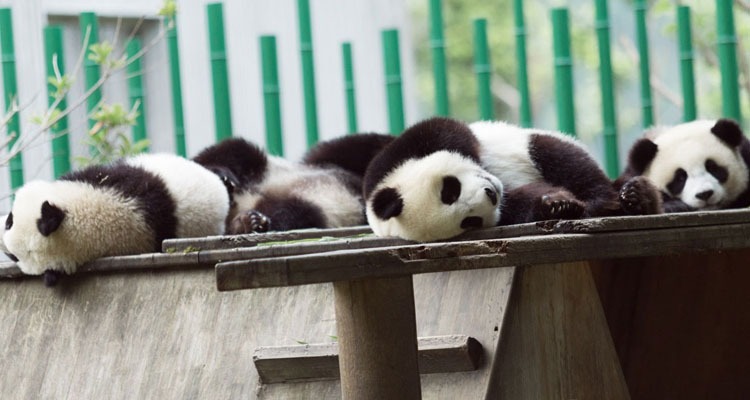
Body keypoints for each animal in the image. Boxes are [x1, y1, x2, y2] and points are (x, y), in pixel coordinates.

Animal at [193, 133, 394, 234]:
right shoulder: (327, 158)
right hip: (264, 169)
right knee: (237, 151)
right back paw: (224, 179)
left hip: (321, 210)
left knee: (294, 214)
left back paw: (247, 223)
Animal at [363, 117, 620, 242]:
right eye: (470, 221)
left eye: (450, 191)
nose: (491, 193)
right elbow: (519, 206)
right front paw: (557, 205)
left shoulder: (392, 157)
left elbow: (447, 131)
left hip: (532, 143)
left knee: (562, 158)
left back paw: (602, 200)